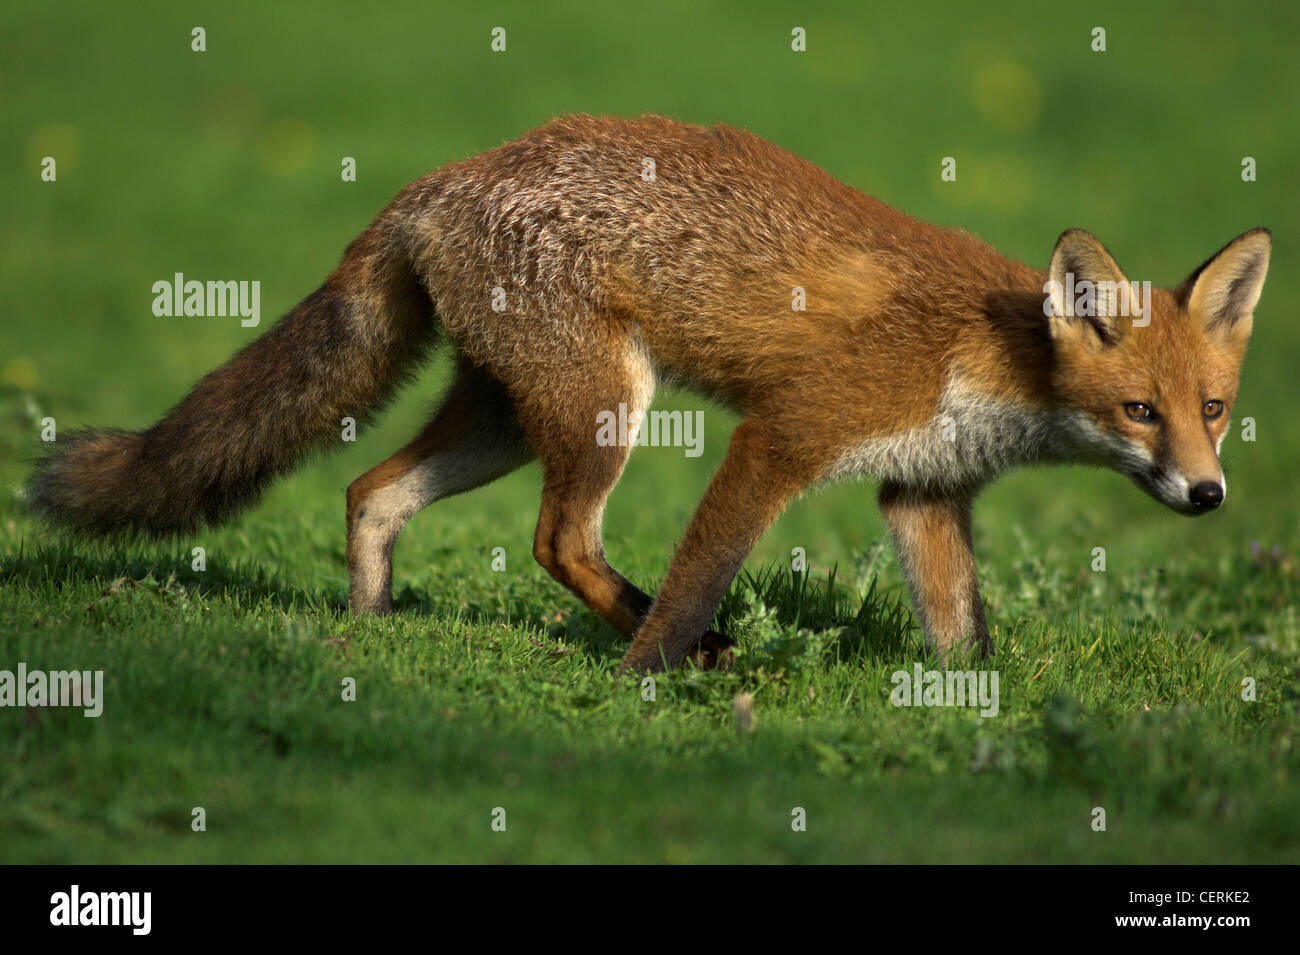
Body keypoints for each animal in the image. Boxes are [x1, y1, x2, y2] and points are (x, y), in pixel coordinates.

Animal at [26, 114, 1271, 672]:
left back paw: (366, 632)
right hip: (602, 408)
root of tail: (446, 173)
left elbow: (961, 630)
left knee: (371, 491)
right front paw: (646, 684)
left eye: (1210, 410)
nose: (1209, 495)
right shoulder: (786, 435)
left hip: (504, 417)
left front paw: (973, 704)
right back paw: (665, 648)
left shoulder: (921, 491)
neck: (994, 358)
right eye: (1139, 412)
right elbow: (701, 571)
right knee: (559, 542)